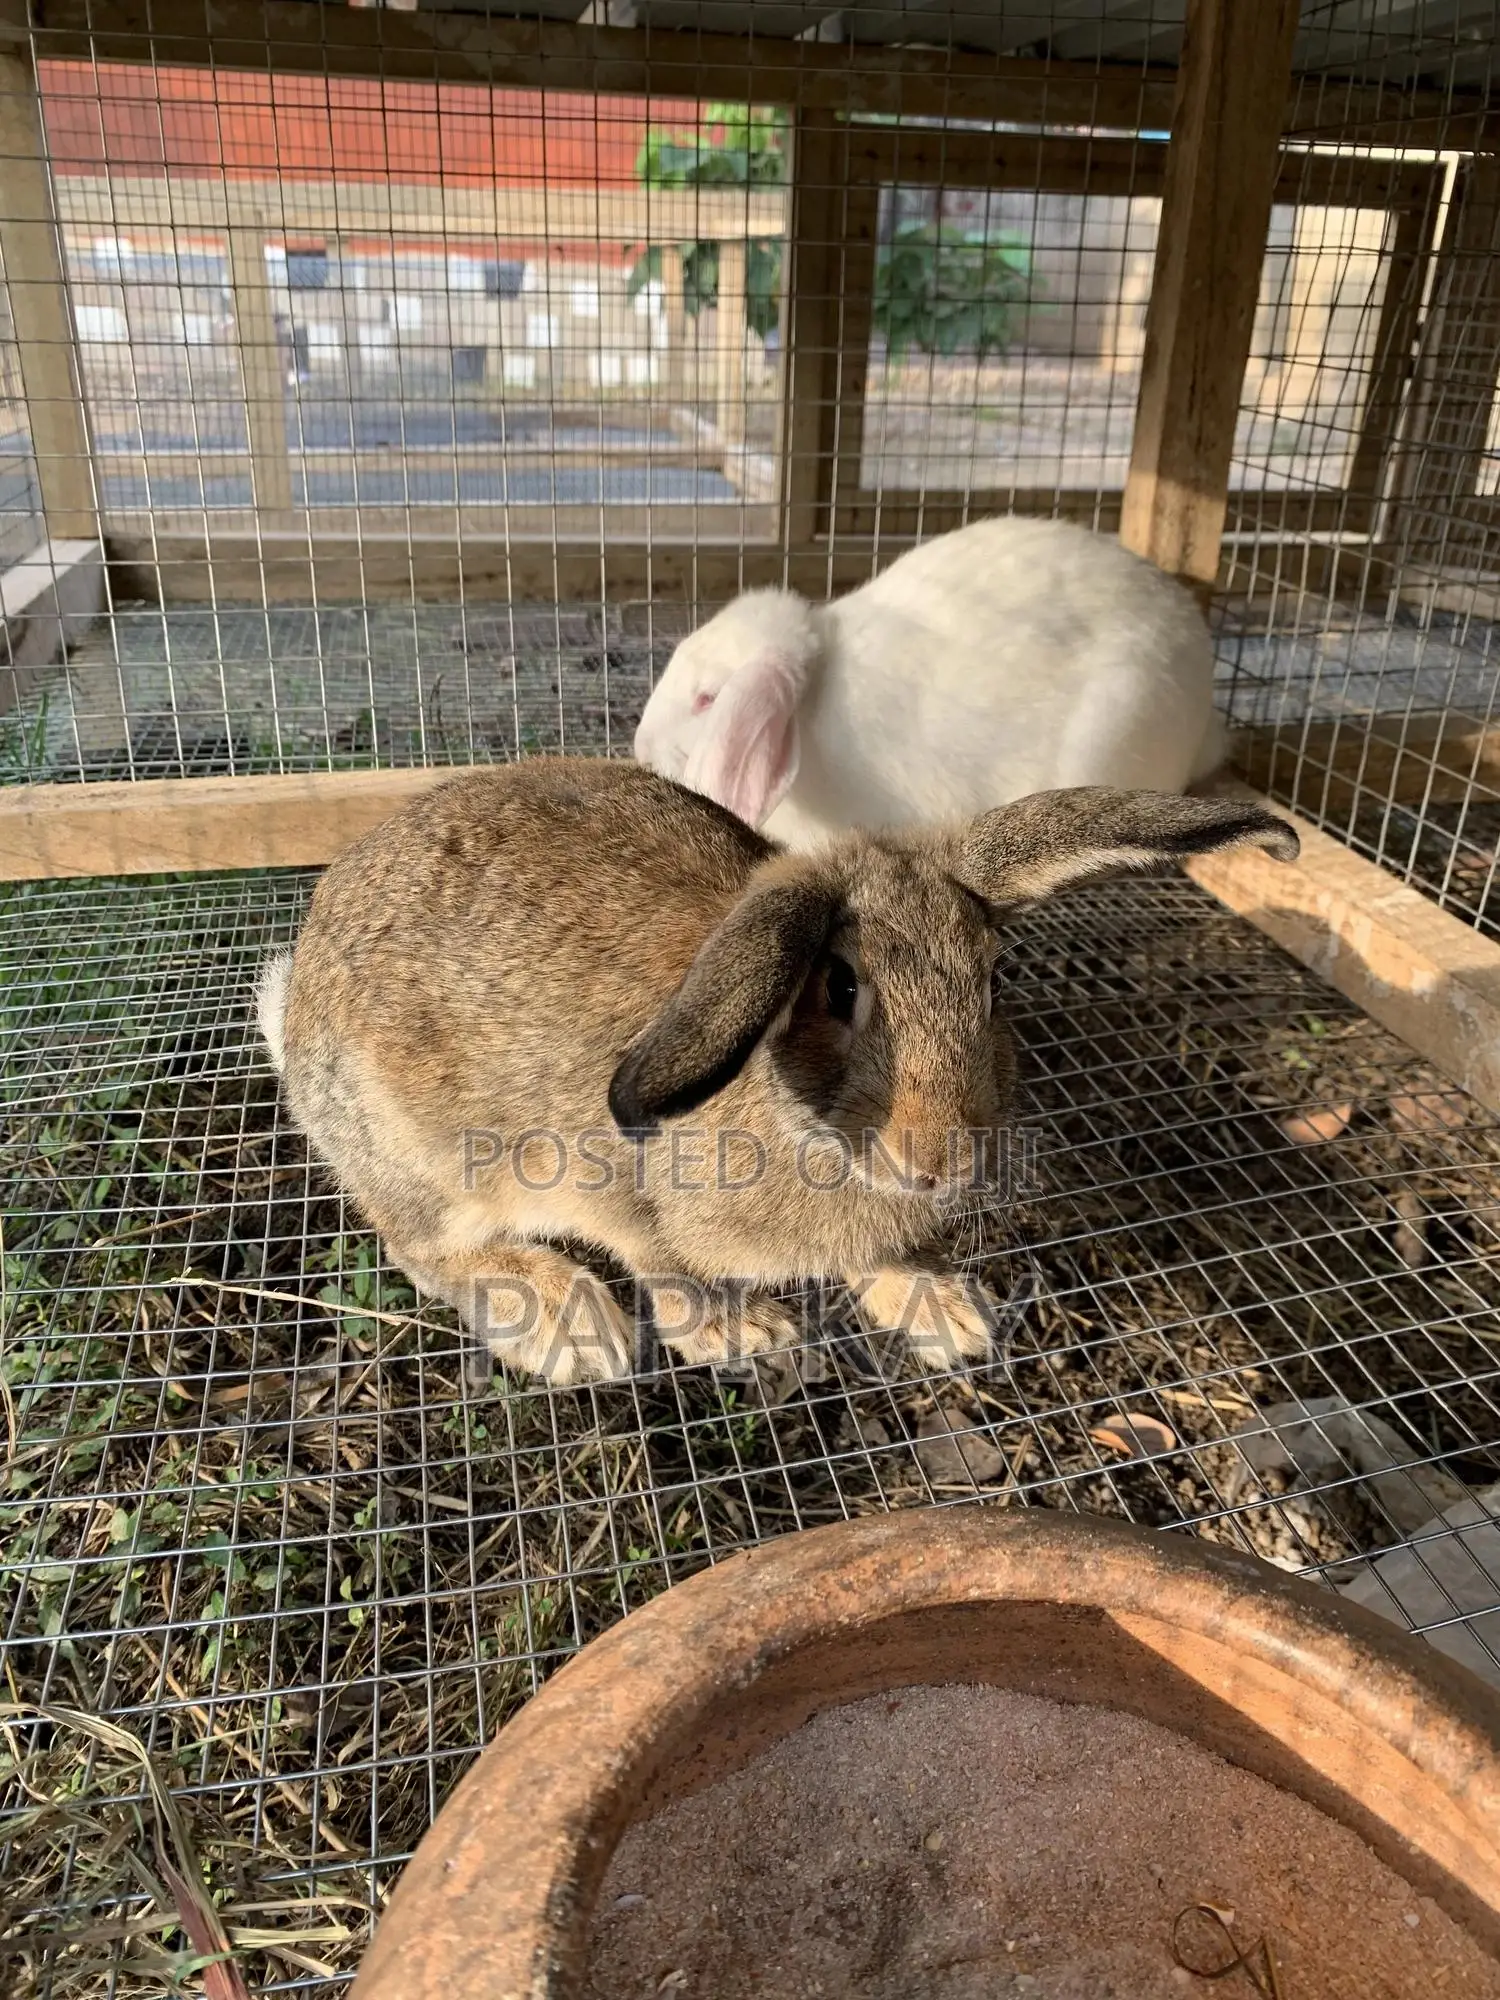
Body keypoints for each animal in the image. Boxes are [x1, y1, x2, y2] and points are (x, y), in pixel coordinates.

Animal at [256, 758, 1294, 1387]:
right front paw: (749, 1335)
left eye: (997, 977)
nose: (944, 1164)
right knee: (426, 1253)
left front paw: (951, 1317)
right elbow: (672, 1272)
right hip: (426, 1164)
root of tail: (295, 1012)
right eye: (838, 987)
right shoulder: (629, 1200)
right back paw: (572, 1324)